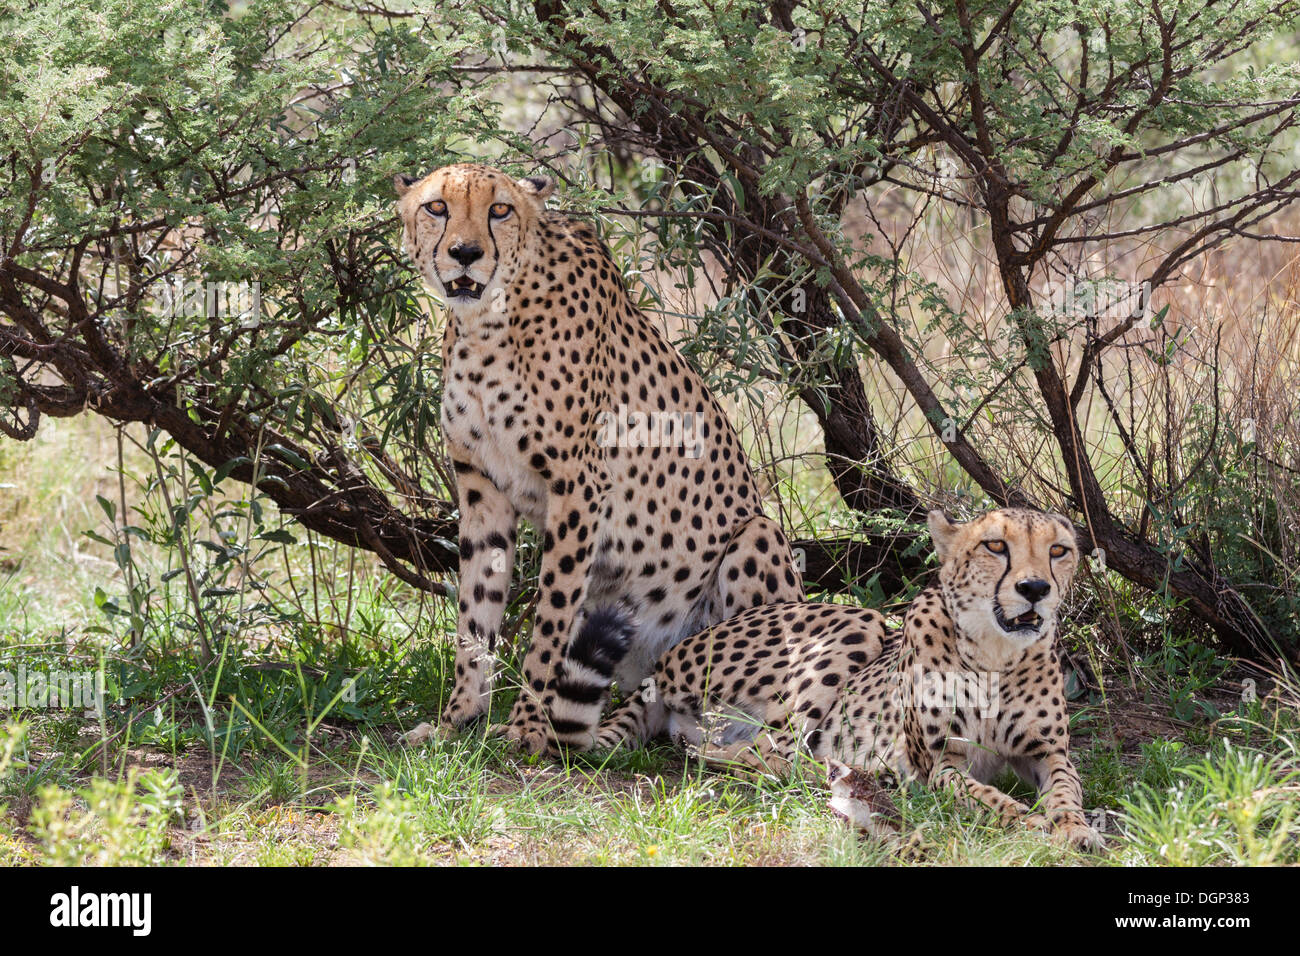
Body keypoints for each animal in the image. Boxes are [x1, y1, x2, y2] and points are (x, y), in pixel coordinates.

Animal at [393, 163, 804, 754]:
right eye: (436, 207)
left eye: (500, 210)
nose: (466, 253)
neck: (488, 321)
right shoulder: (481, 488)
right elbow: (475, 614)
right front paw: (457, 721)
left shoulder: (578, 487)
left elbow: (551, 618)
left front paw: (526, 728)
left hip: (756, 536)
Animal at [570, 507, 1102, 850]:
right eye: (996, 545)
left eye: (1058, 550)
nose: (1034, 588)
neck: (996, 653)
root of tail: (667, 658)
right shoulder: (939, 764)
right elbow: (988, 796)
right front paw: (1031, 823)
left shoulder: (1048, 751)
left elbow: (1067, 790)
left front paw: (1076, 829)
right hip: (859, 623)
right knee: (761, 755)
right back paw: (855, 775)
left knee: (737, 751)